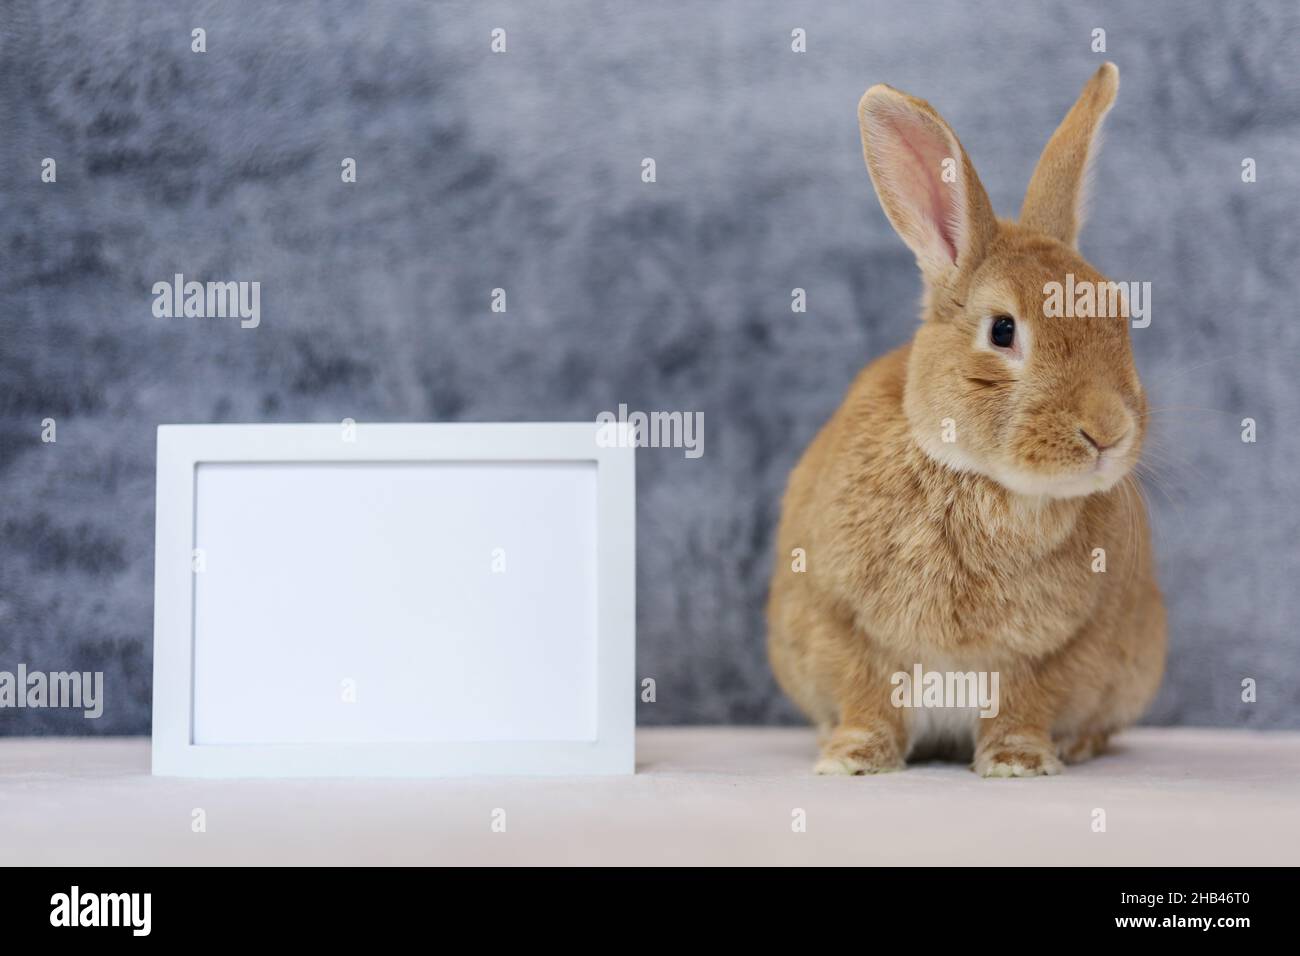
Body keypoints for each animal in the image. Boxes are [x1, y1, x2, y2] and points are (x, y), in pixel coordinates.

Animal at [766, 63, 1166, 777]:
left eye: (1121, 315)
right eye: (1003, 330)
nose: (1109, 432)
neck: (976, 479)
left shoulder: (1052, 652)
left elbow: (1026, 703)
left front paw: (1018, 763)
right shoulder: (842, 623)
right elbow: (866, 695)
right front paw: (852, 760)